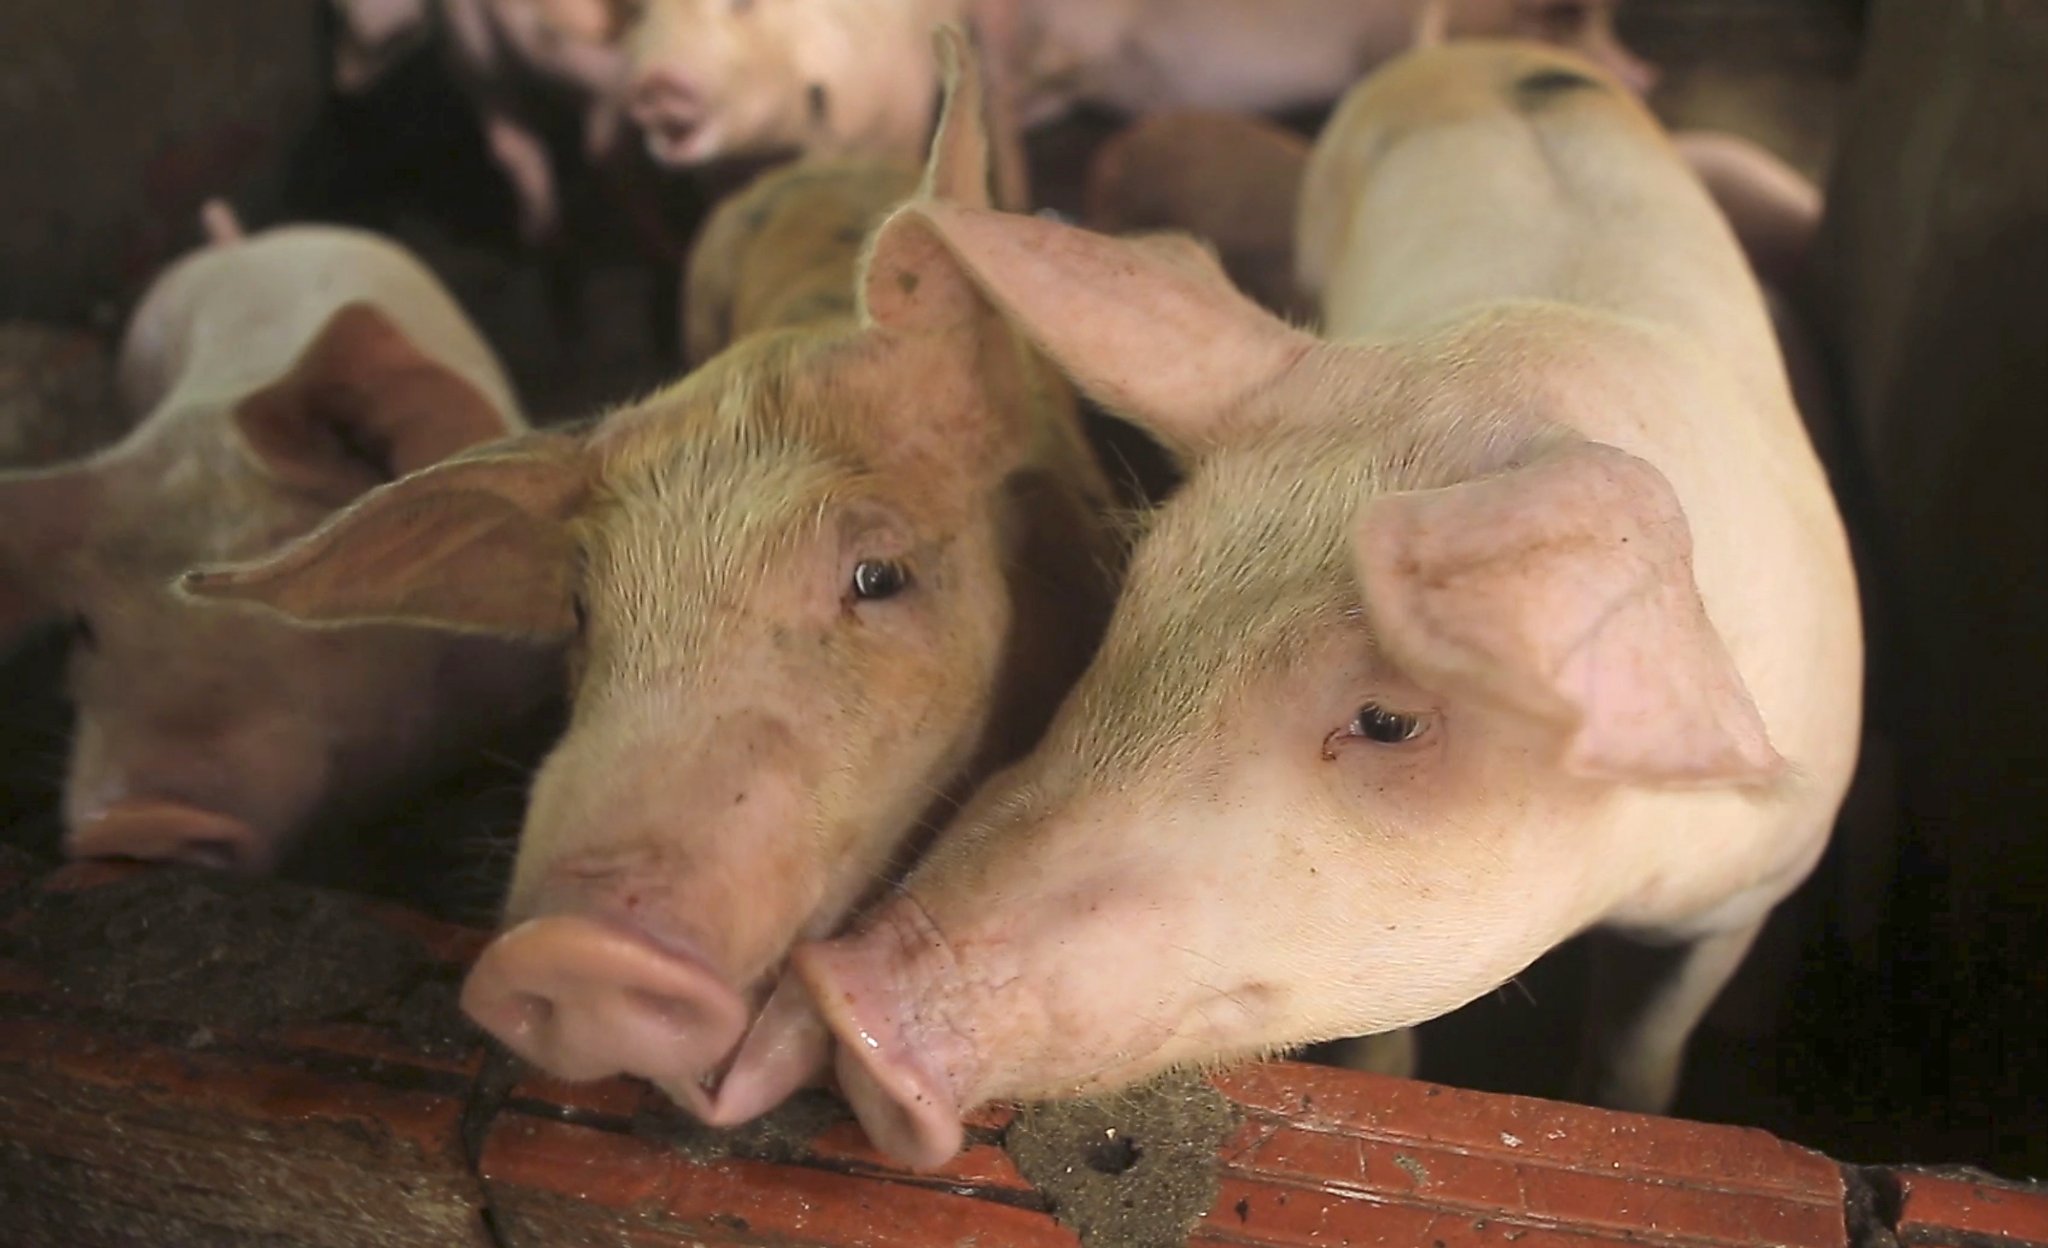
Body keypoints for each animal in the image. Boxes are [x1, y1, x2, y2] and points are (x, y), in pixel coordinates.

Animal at [720, 42, 1863, 1168]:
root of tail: (1485, 46)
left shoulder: (1755, 885)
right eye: (1138, 589)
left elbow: (1647, 1046)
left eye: (1389, 719)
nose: (844, 990)